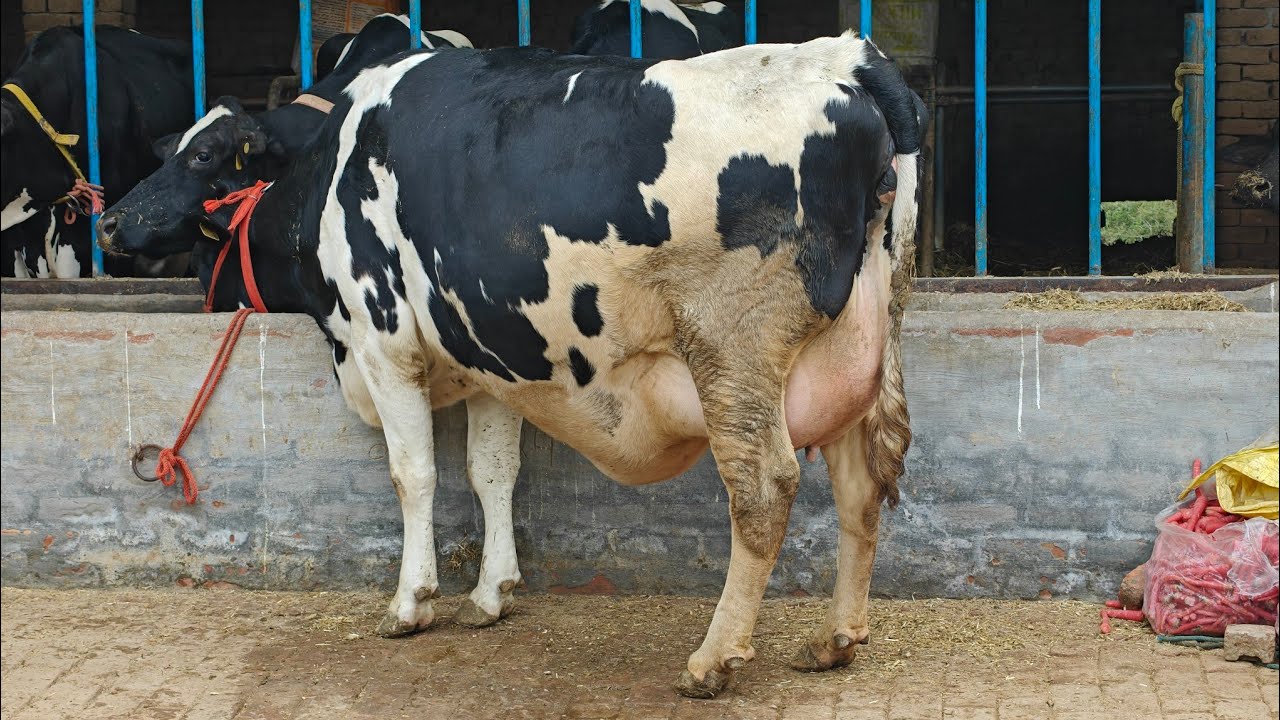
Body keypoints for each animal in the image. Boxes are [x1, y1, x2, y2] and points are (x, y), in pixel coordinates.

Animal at [99, 34, 923, 698]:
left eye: (204, 156)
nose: (109, 220)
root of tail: (847, 57)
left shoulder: (383, 338)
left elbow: (415, 473)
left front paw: (412, 601)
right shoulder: (490, 357)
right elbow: (492, 471)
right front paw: (492, 593)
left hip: (733, 348)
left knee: (762, 487)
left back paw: (712, 660)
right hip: (862, 347)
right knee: (860, 485)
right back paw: (835, 640)